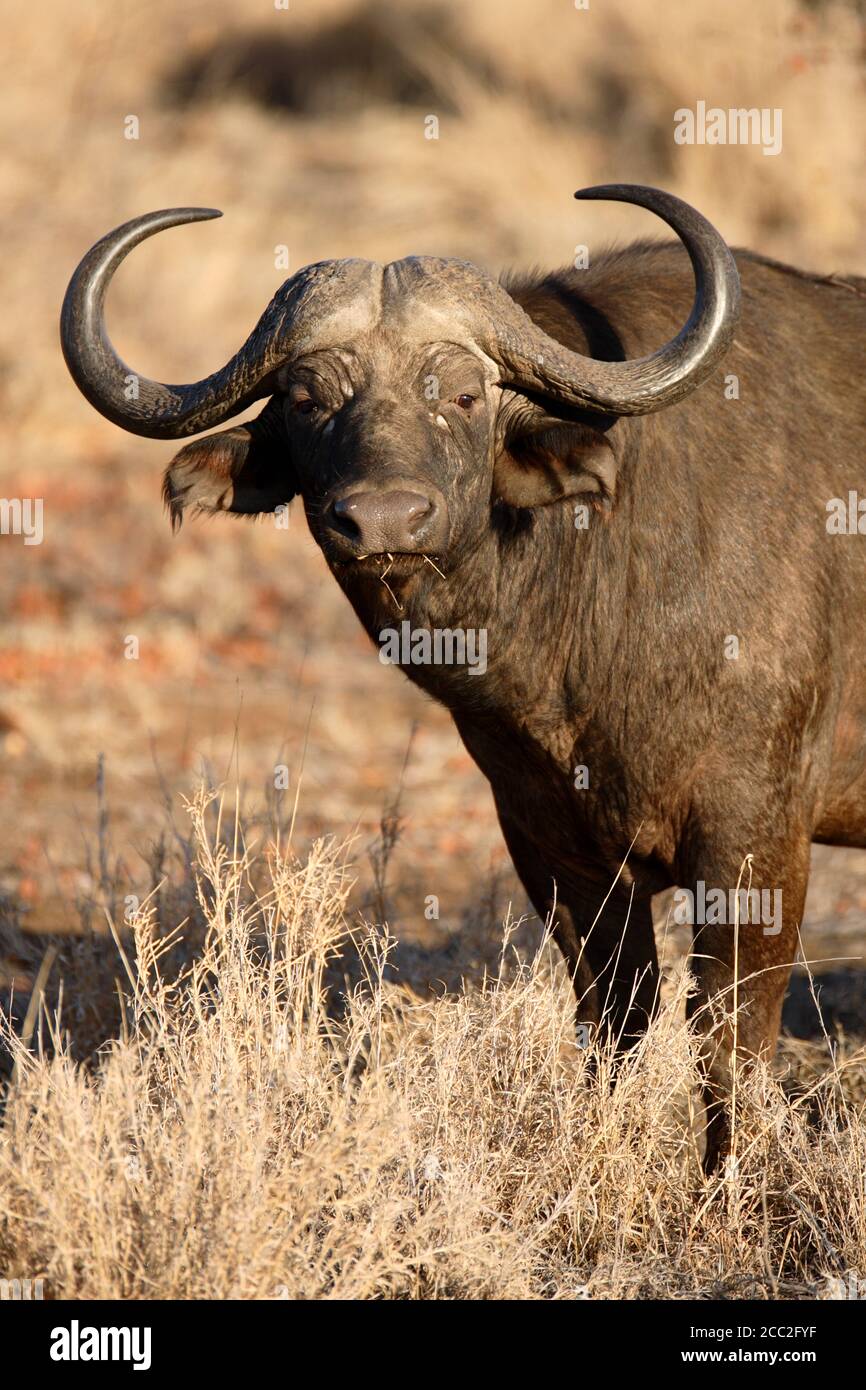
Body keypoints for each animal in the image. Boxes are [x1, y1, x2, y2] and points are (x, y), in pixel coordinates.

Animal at [60, 185, 866, 1173]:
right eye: (306, 400)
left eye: (465, 394)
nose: (381, 520)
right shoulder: (549, 842)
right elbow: (613, 1019)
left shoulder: (756, 836)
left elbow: (728, 1037)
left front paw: (727, 1182)